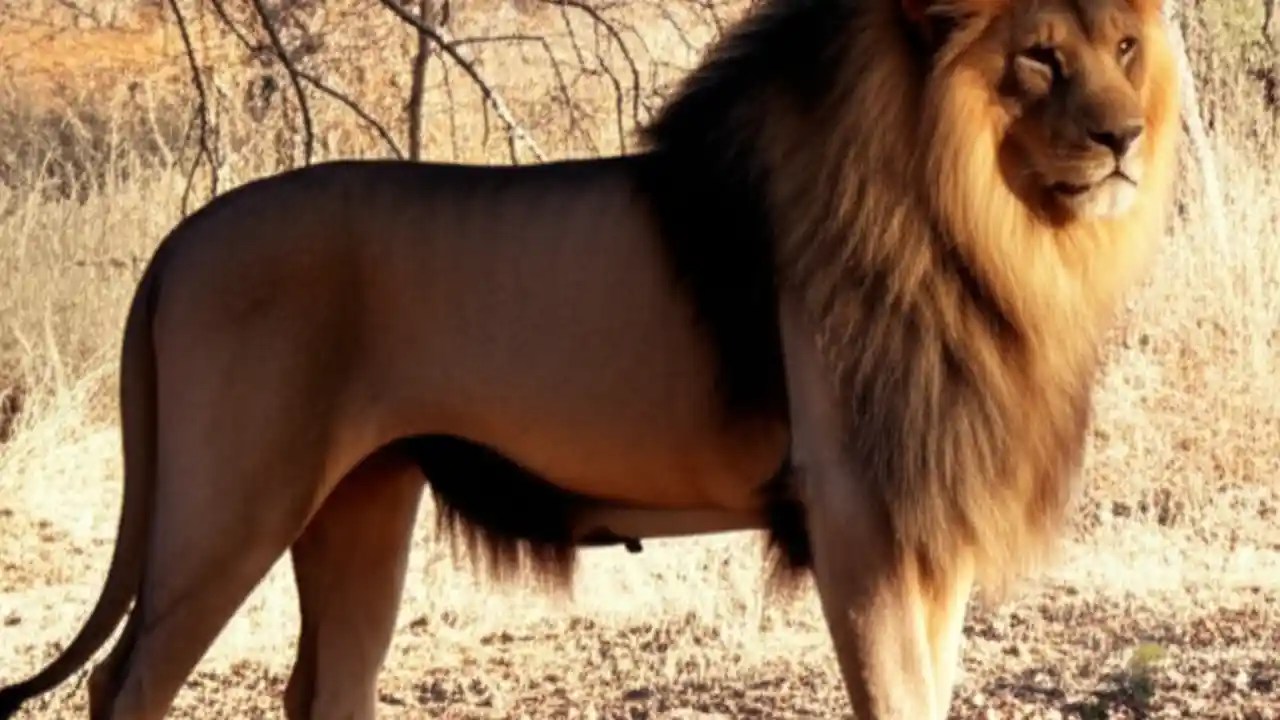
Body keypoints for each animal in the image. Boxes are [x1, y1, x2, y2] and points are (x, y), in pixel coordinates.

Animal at [0, 0, 1178, 717]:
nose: (1123, 140)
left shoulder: (929, 530)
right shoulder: (861, 522)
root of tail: (182, 237)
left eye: (1123, 50)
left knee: (320, 688)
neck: (987, 232)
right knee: (125, 682)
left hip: (361, 507)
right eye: (1039, 55)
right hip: (228, 509)